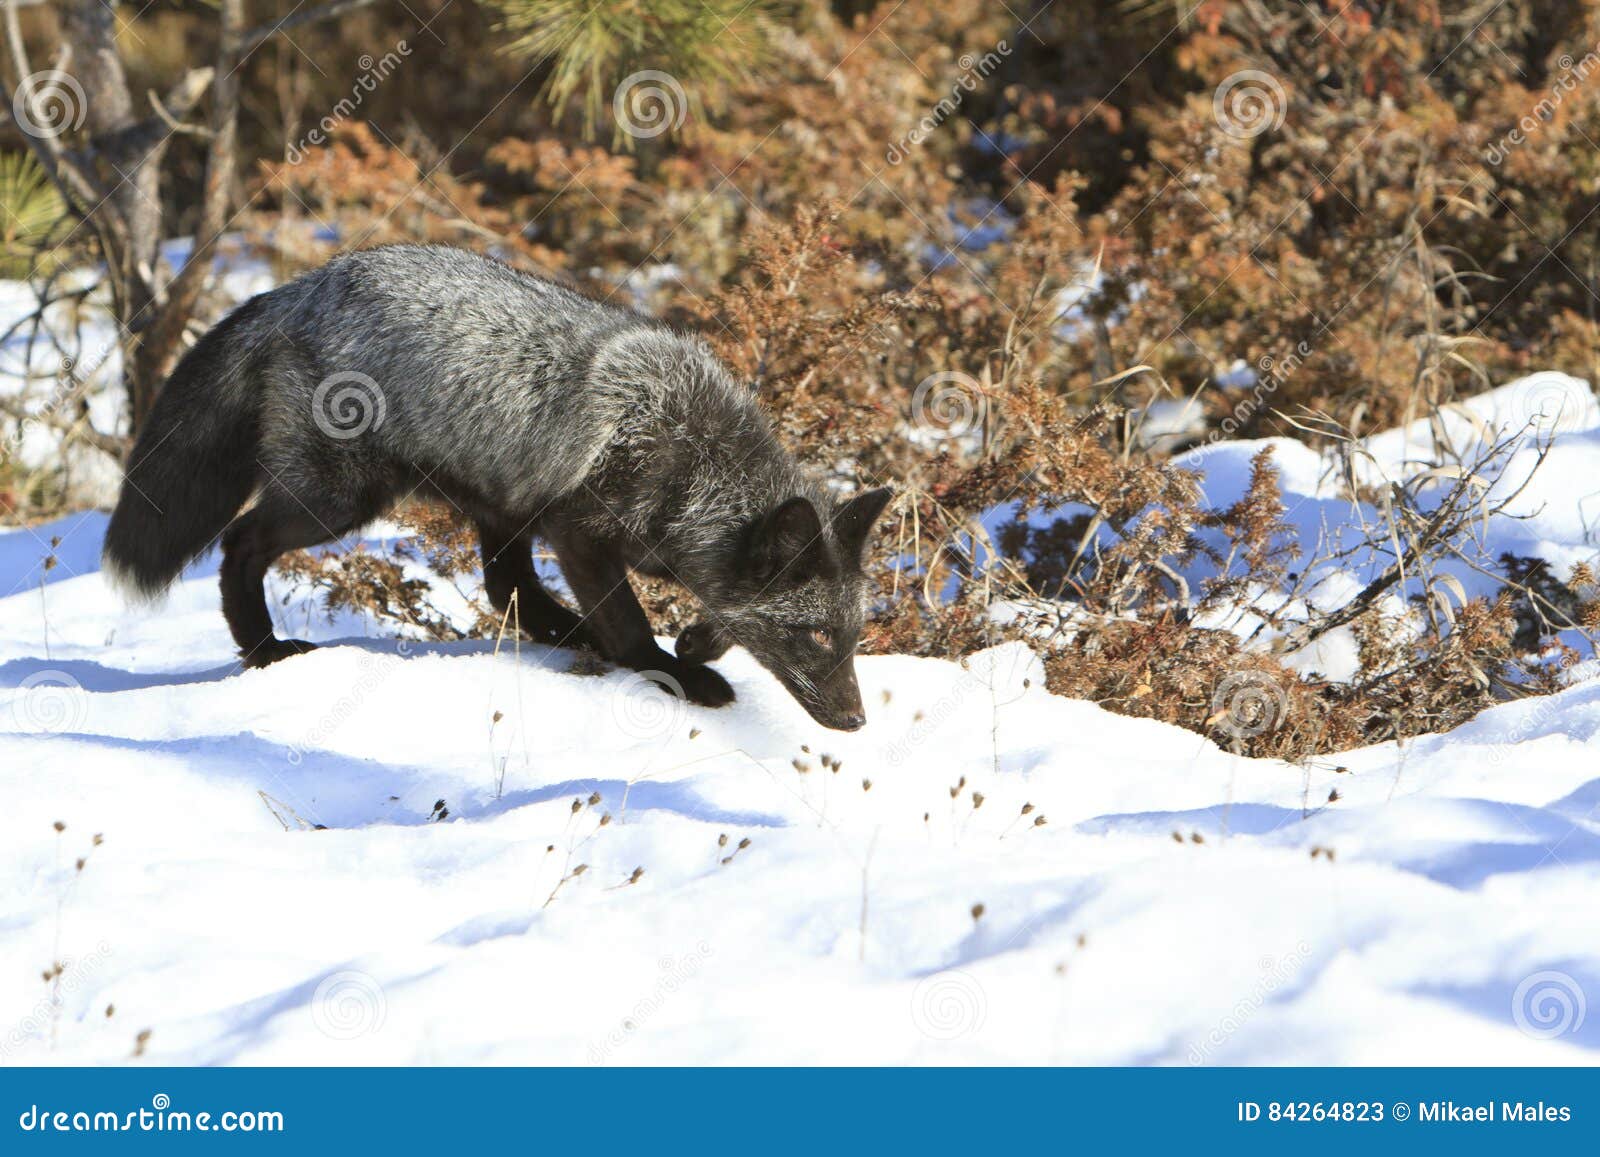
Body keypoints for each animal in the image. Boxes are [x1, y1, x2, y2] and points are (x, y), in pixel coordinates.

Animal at [102, 245, 894, 731]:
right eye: (814, 635)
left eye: (855, 636)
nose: (856, 721)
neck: (692, 461)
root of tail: (296, 288)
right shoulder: (582, 535)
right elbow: (630, 624)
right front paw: (670, 671)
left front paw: (698, 641)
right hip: (339, 501)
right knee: (240, 543)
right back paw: (264, 649)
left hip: (496, 505)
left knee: (505, 587)